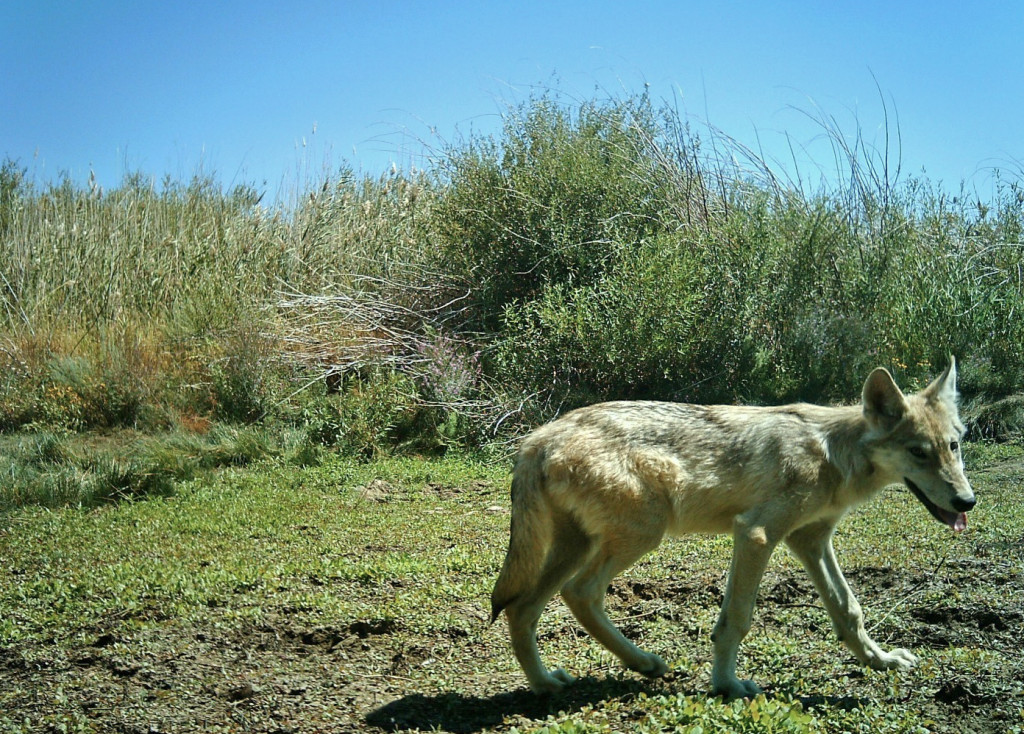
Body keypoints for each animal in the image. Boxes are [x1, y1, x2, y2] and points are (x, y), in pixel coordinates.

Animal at [490, 360, 974, 698]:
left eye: (953, 446)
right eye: (918, 452)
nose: (967, 502)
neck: (832, 454)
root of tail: (537, 438)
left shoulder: (810, 540)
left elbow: (848, 610)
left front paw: (881, 661)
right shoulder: (757, 535)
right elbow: (736, 620)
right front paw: (727, 685)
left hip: (579, 547)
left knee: (522, 609)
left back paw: (551, 683)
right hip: (643, 535)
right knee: (578, 593)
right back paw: (633, 665)